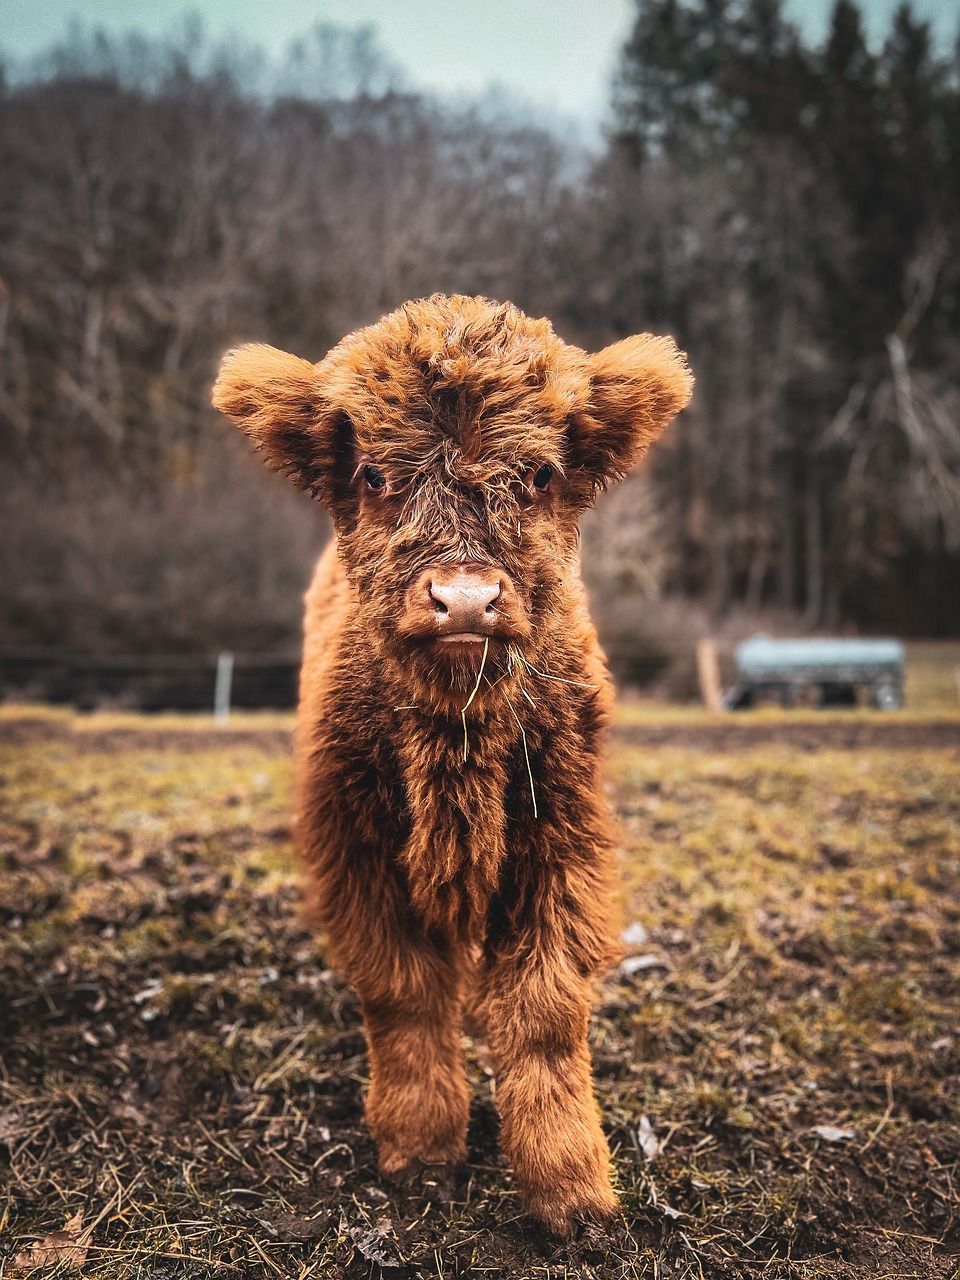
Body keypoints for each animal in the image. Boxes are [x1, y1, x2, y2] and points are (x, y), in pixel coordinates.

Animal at [212, 294, 693, 1233]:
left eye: (540, 474)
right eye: (371, 474)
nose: (463, 599)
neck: (456, 749)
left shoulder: (561, 844)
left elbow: (543, 1015)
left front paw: (571, 1190)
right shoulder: (358, 847)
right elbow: (405, 995)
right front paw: (422, 1151)